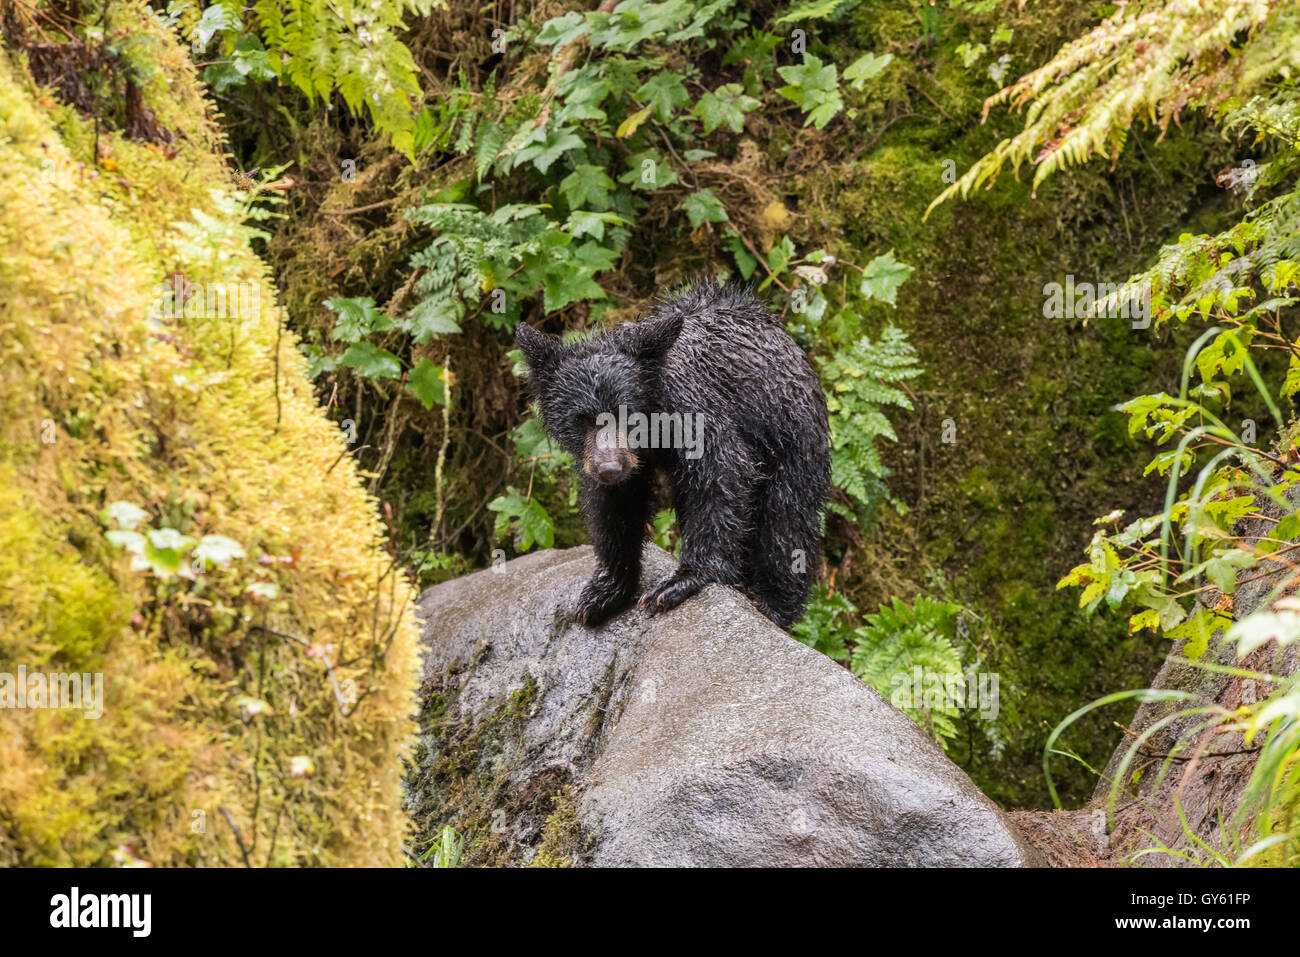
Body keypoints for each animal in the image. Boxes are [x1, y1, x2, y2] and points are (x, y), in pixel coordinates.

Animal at [515, 280, 831, 629]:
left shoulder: (695, 410)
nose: (609, 467)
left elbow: (722, 474)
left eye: (628, 414)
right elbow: (615, 508)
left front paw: (678, 583)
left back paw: (770, 602)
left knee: (786, 521)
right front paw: (603, 593)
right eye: (581, 418)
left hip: (791, 436)